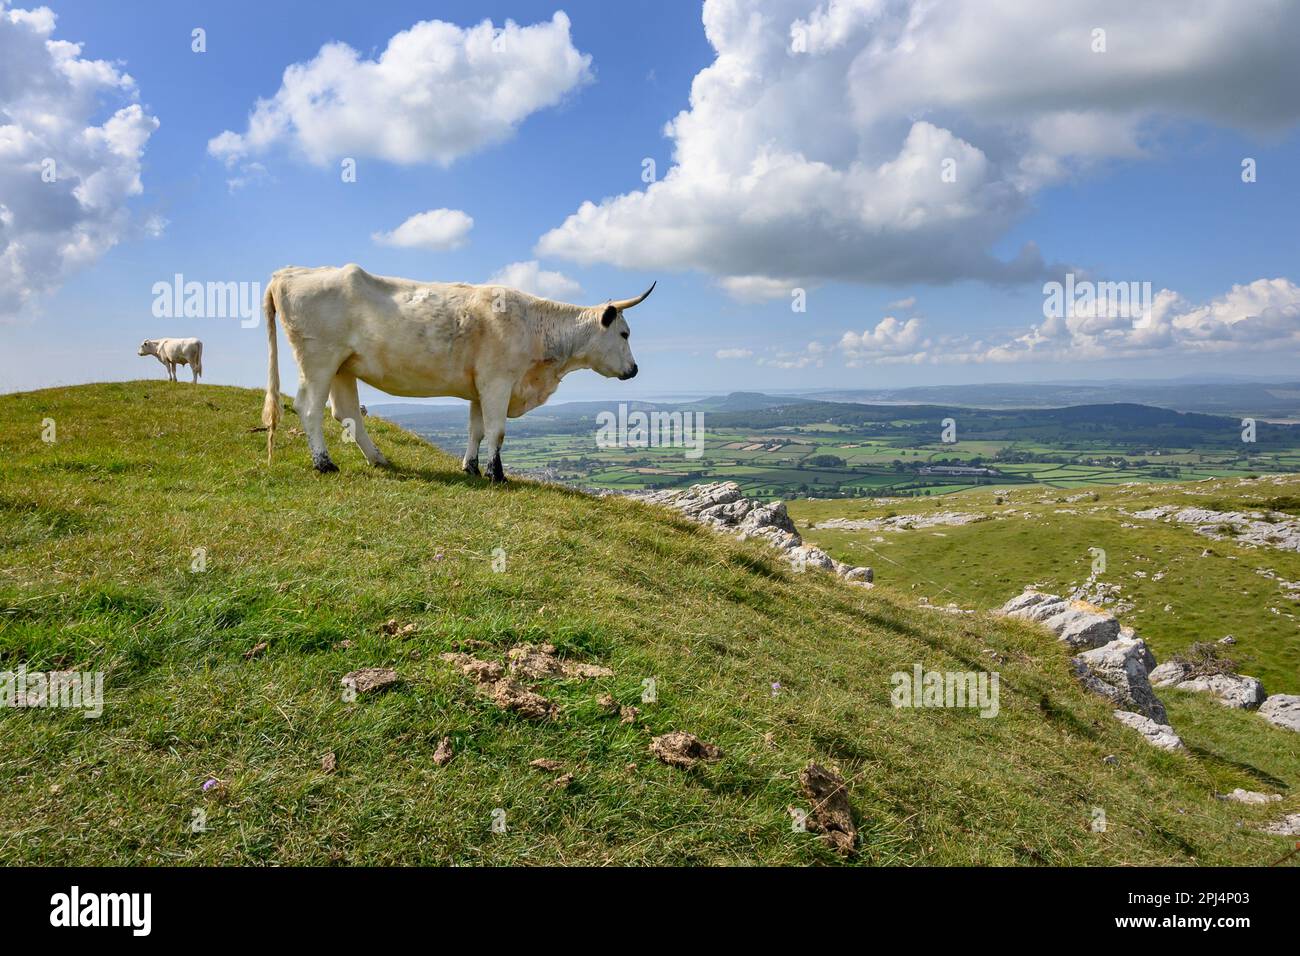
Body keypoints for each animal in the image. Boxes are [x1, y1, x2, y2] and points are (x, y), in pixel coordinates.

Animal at [261, 264, 652, 481]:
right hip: (319, 360)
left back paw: (379, 459)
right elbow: (497, 431)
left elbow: (476, 430)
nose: (634, 369)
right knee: (309, 408)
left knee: (347, 414)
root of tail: (286, 273)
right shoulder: (498, 381)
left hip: (343, 366)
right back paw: (324, 463)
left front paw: (472, 468)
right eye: (625, 333)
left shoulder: (480, 387)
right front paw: (497, 475)